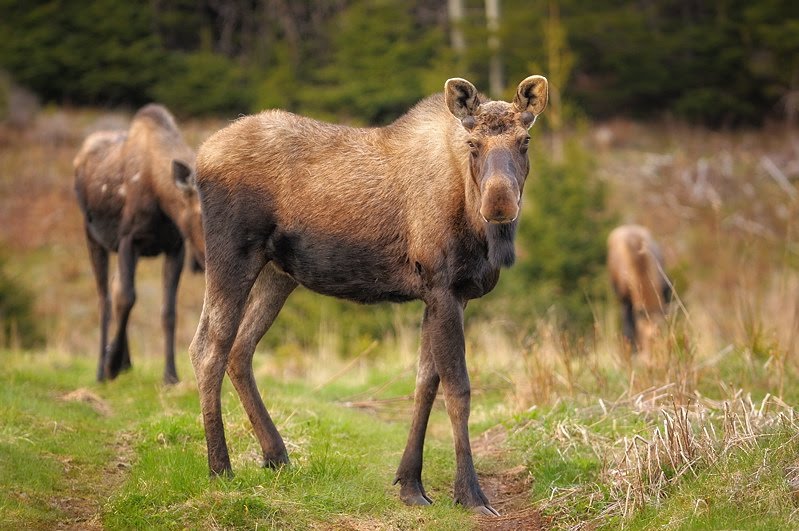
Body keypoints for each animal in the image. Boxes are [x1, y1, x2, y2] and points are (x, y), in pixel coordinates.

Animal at [74, 104, 205, 384]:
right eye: (203, 213)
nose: (203, 262)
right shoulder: (128, 240)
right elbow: (127, 298)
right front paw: (111, 363)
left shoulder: (175, 247)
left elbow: (169, 311)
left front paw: (170, 375)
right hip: (93, 237)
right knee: (105, 299)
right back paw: (102, 369)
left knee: (113, 287)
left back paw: (125, 361)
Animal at [188, 75, 548, 515]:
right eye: (473, 143)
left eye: (524, 140)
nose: (499, 203)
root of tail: (201, 156)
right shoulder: (444, 289)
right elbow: (458, 390)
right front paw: (470, 495)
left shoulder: (443, 296)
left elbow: (424, 385)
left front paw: (410, 484)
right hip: (232, 252)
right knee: (208, 348)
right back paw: (220, 469)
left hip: (278, 273)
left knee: (240, 349)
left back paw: (276, 455)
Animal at [607, 224, 672, 355]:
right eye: (646, 337)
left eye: (662, 333)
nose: (652, 354)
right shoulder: (625, 301)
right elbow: (628, 329)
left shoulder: (665, 292)